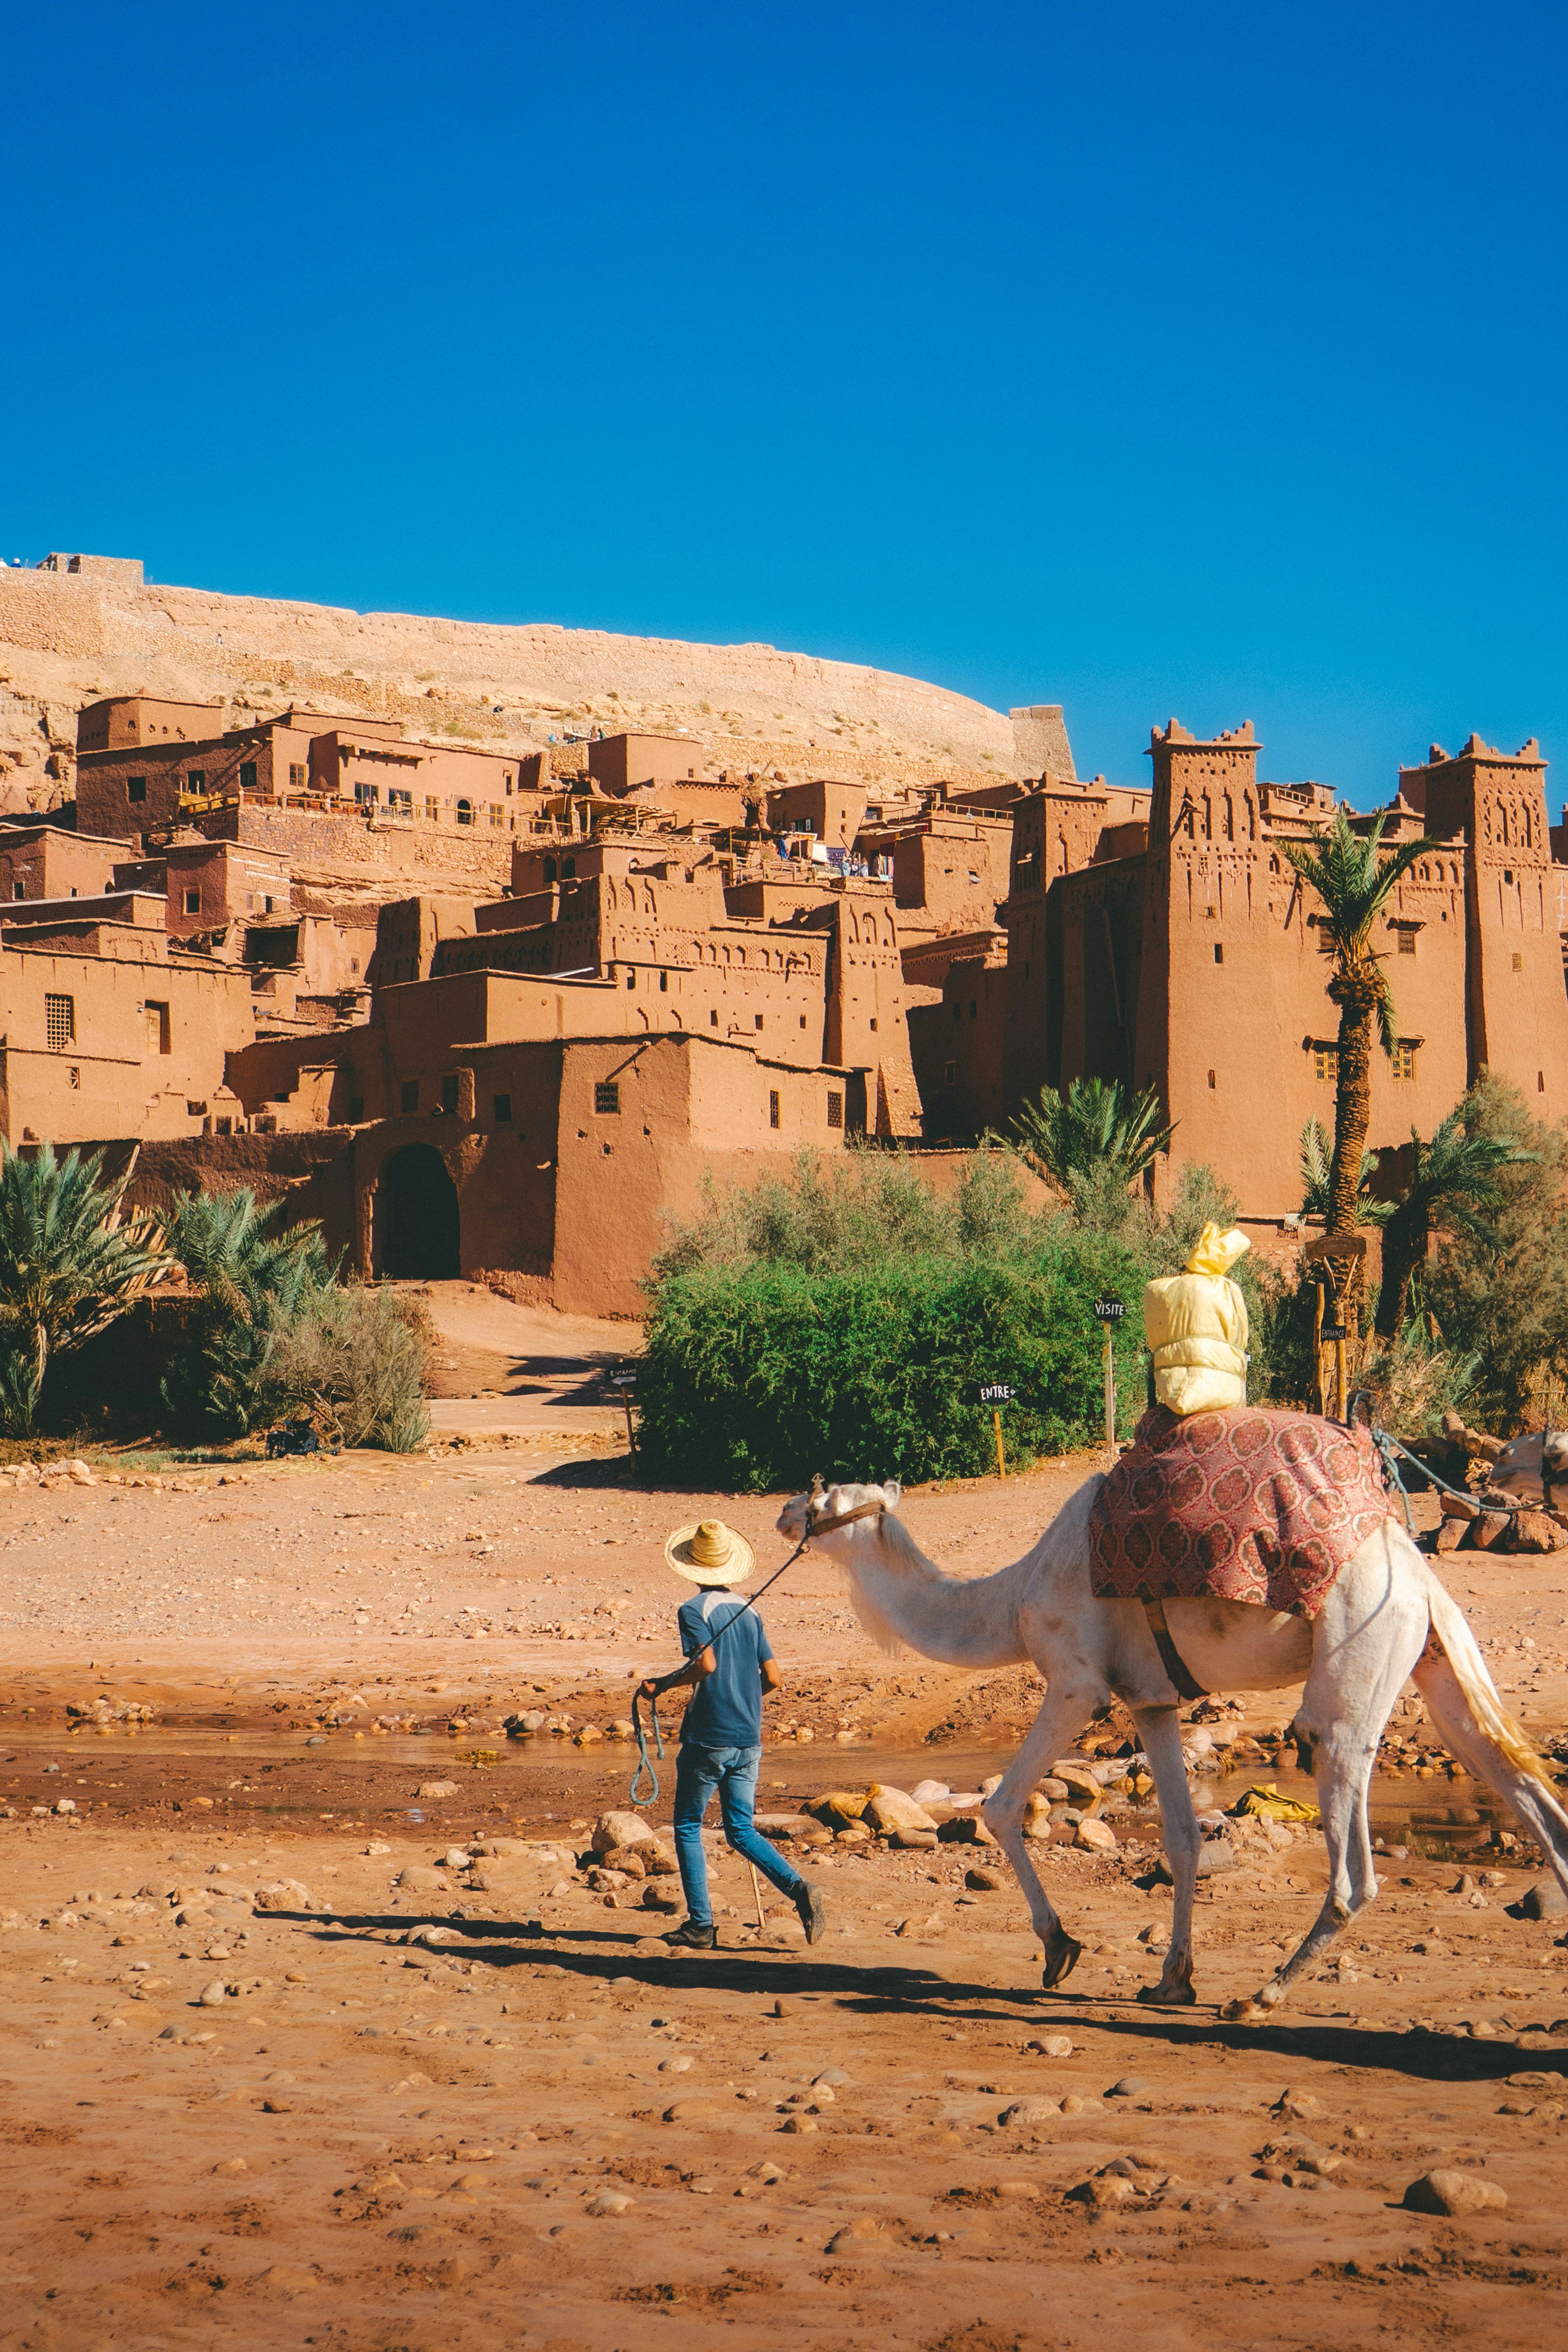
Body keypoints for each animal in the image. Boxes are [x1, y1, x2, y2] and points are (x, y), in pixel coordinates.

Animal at [778, 1475, 1568, 2016]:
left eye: (820, 1498)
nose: (784, 1514)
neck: (1011, 1599)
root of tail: (1421, 1576)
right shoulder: (1150, 1700)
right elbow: (1184, 1837)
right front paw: (1171, 1979)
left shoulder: (1078, 1684)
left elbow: (1002, 1808)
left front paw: (1059, 1949)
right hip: (1431, 1658)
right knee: (1518, 1785)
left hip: (1355, 1666)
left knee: (1351, 1857)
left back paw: (1261, 1996)